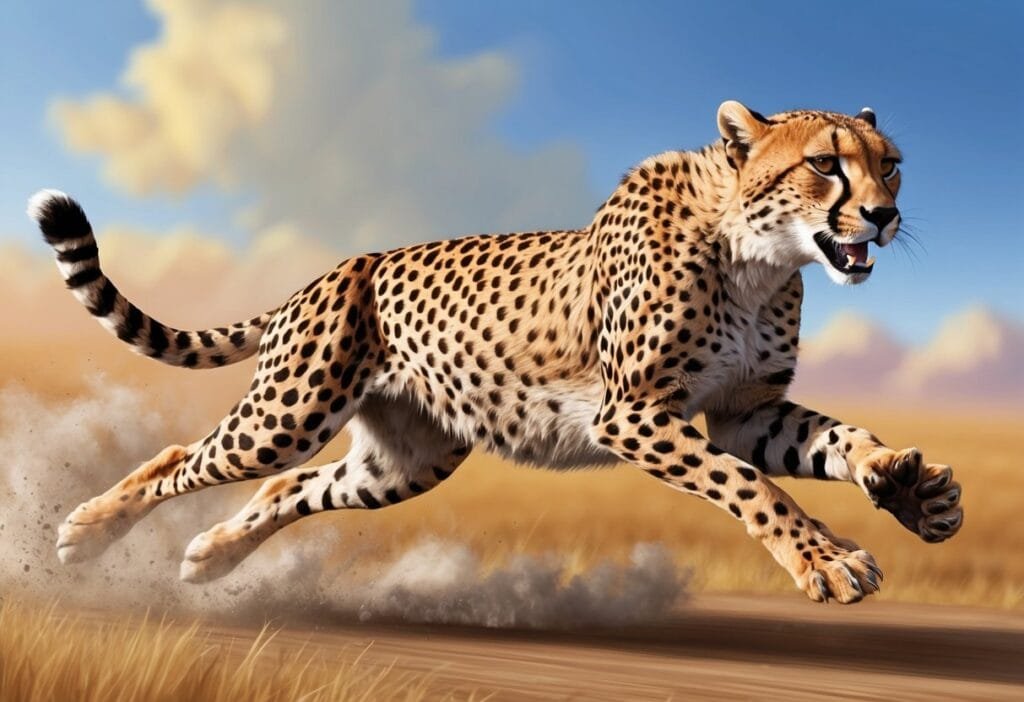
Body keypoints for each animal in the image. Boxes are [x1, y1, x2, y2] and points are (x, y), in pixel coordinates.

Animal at [29, 101, 962, 604]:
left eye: (892, 166)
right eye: (826, 166)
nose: (883, 215)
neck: (761, 259)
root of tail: (331, 270)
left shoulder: (741, 412)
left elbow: (832, 439)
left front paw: (911, 488)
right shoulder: (635, 413)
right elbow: (751, 487)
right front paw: (827, 560)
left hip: (404, 460)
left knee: (293, 487)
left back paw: (211, 555)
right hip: (287, 413)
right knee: (184, 456)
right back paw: (83, 534)